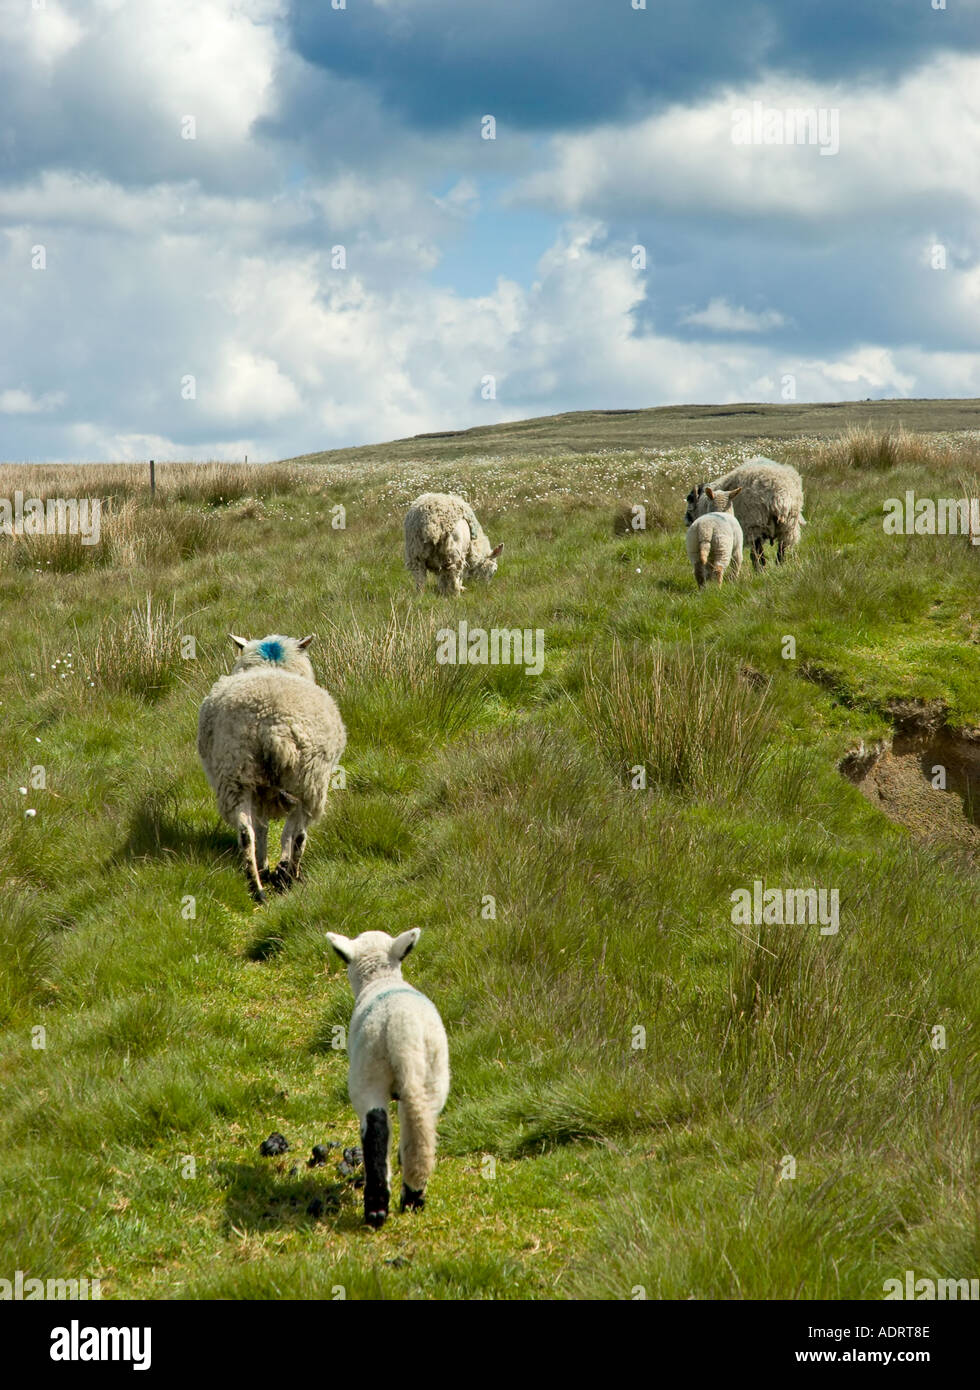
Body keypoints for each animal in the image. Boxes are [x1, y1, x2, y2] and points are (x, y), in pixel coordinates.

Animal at [197, 633, 346, 904]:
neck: (272, 665)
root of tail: (273, 724)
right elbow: (282, 830)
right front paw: (276, 869)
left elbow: (262, 827)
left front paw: (267, 867)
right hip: (310, 779)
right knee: (299, 832)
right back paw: (288, 875)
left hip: (237, 775)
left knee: (246, 832)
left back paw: (256, 887)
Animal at [326, 928, 450, 1228]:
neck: (380, 979)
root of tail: (402, 1030)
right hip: (432, 1074)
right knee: (419, 1124)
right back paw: (413, 1196)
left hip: (368, 1073)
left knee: (376, 1126)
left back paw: (376, 1208)